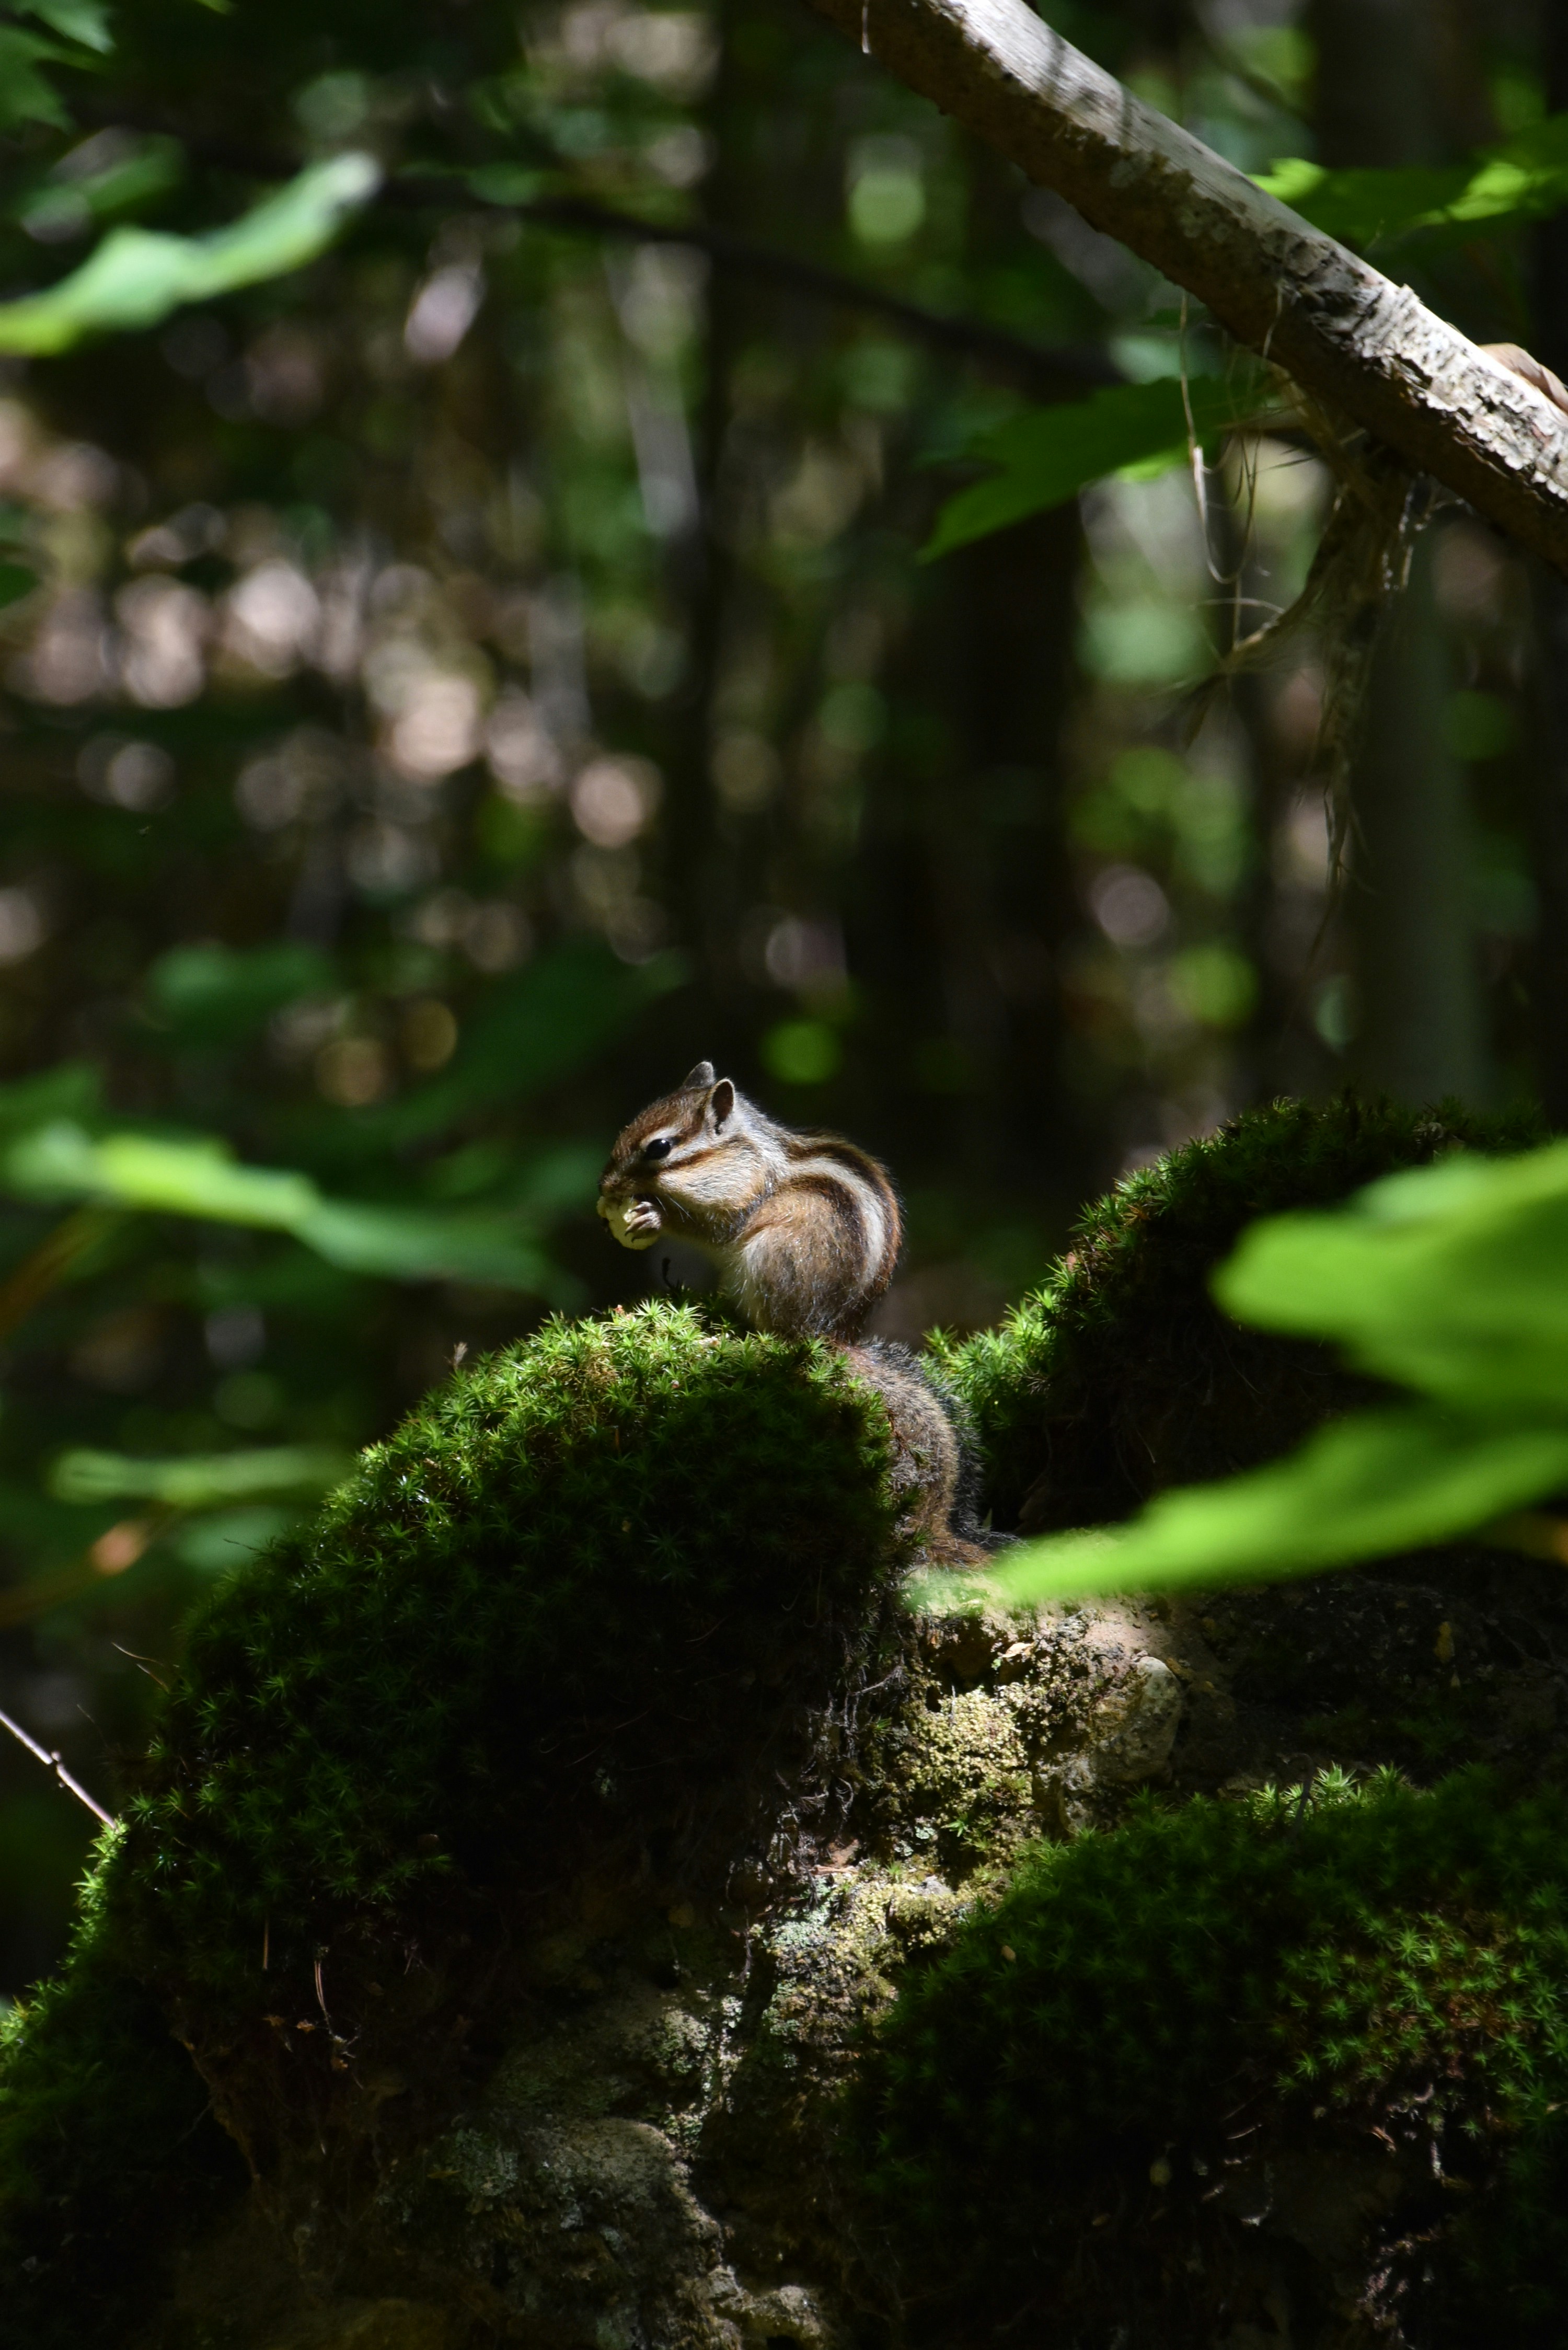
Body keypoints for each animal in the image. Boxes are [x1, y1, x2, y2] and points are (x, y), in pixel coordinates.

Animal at [598, 1062, 993, 1564]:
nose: (604, 1189)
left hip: (766, 1262)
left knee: (776, 1338)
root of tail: (831, 1335)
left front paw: (653, 1218)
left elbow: (710, 1226)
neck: (739, 1156)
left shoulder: (737, 1198)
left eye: (659, 1148)